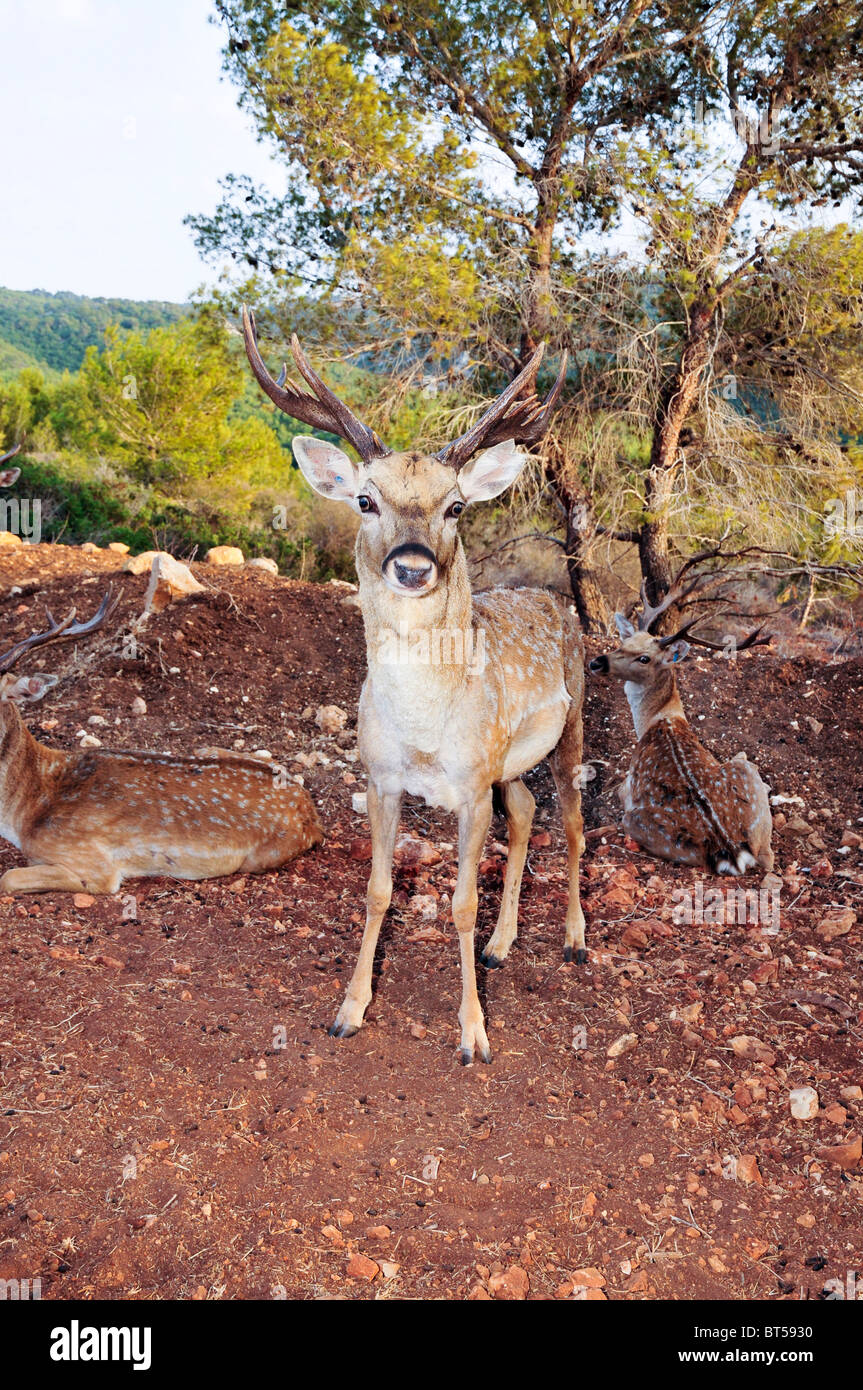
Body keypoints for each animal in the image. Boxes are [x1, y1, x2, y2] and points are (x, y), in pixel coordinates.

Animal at [242, 306, 587, 1064]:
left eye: (455, 507)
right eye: (365, 500)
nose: (411, 566)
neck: (427, 729)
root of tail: (555, 600)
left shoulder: (470, 788)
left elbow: (459, 903)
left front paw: (474, 1034)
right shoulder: (382, 776)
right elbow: (376, 890)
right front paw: (349, 1009)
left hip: (575, 723)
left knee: (575, 823)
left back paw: (576, 940)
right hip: (506, 765)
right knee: (527, 812)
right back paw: (501, 945)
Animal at [588, 581, 774, 875]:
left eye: (644, 658)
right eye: (623, 642)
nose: (597, 662)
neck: (659, 718)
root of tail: (730, 850)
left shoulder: (626, 787)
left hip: (635, 820)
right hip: (745, 778)